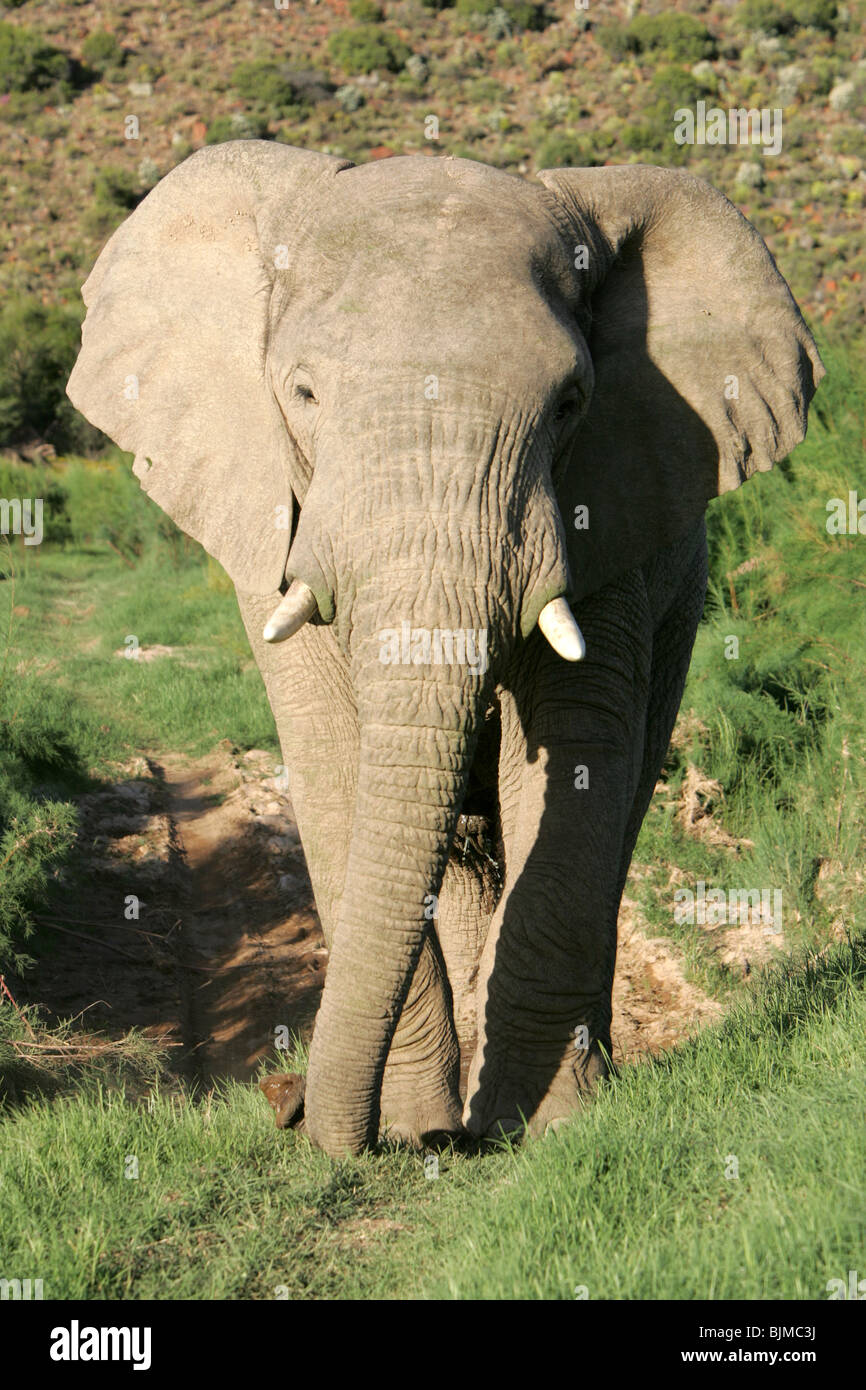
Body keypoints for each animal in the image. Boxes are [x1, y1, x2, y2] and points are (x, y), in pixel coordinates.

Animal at [67, 143, 824, 1158]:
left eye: (571, 402)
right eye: (303, 395)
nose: (291, 1111)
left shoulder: (607, 508)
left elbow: (576, 759)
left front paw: (546, 1128)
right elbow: (332, 761)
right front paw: (417, 1127)